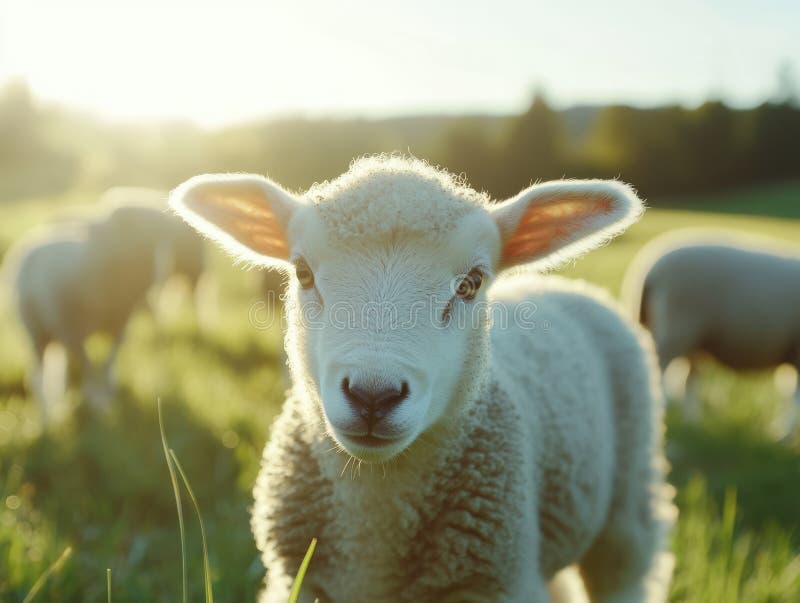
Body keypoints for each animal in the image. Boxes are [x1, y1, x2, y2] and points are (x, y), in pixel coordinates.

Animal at [5, 204, 204, 418]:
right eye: (141, 233)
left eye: (163, 242)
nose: (160, 274)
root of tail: (27, 243)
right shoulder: (74, 331)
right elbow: (90, 368)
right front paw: (97, 402)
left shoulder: (119, 326)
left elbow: (109, 363)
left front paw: (107, 396)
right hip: (35, 331)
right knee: (37, 376)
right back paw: (46, 418)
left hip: (53, 332)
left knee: (57, 366)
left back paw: (59, 404)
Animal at [170, 156, 675, 603]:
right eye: (303, 273)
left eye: (471, 283)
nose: (373, 395)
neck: (376, 511)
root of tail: (571, 286)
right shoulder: (298, 581)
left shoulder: (494, 585)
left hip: (628, 500)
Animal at [623, 230, 800, 437]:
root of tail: (650, 270)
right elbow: (794, 396)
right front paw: (785, 435)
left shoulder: (790, 352)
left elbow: (787, 392)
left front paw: (780, 431)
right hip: (675, 332)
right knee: (661, 374)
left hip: (691, 340)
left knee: (689, 380)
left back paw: (692, 423)